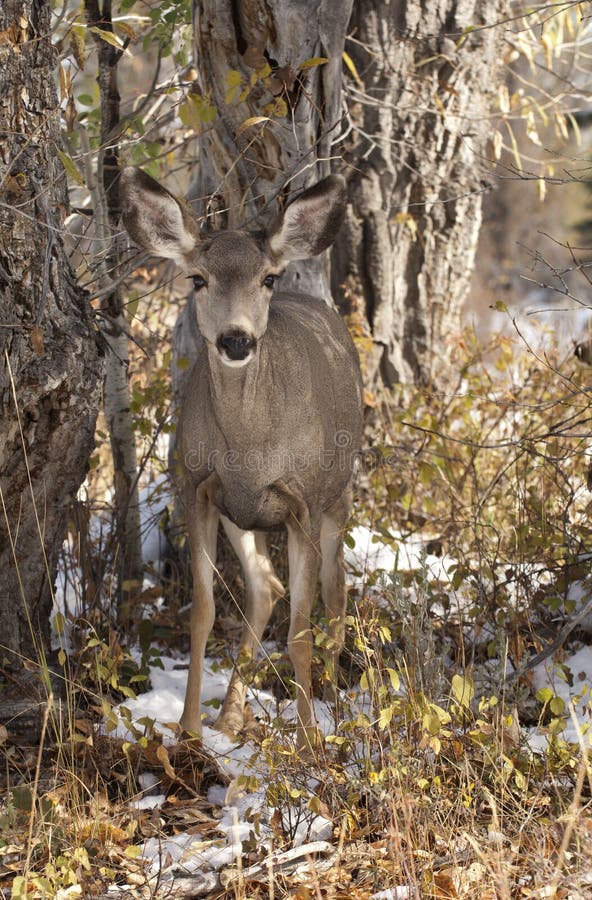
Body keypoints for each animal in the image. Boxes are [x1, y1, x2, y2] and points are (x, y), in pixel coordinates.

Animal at [120, 167, 363, 749]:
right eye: (198, 279)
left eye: (268, 279)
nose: (236, 340)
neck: (252, 449)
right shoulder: (197, 489)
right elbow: (204, 613)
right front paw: (188, 731)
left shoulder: (303, 503)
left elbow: (300, 630)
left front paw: (312, 742)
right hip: (242, 515)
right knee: (265, 589)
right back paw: (230, 714)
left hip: (338, 495)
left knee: (336, 596)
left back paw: (334, 705)